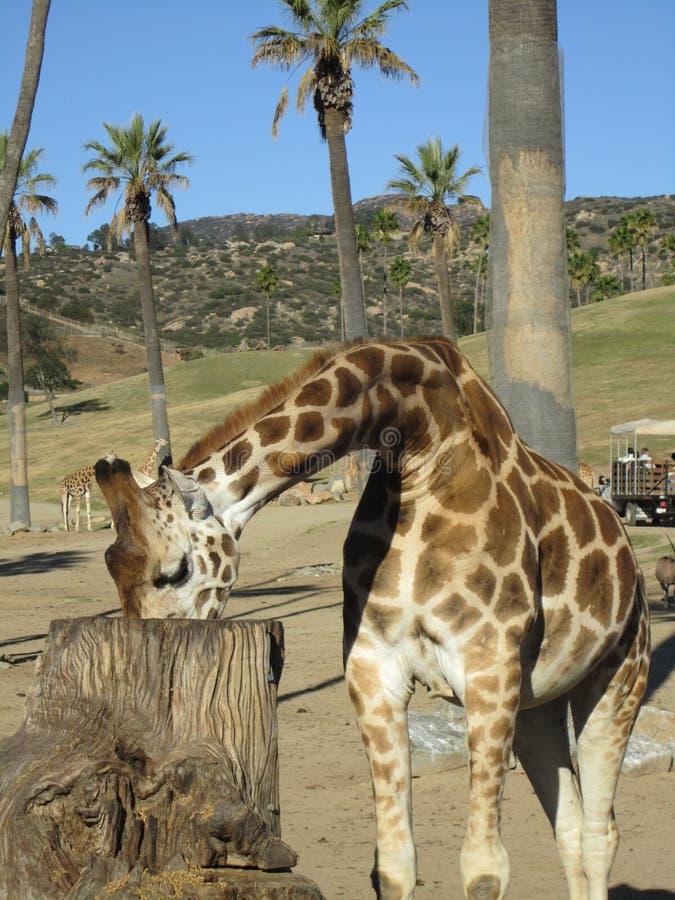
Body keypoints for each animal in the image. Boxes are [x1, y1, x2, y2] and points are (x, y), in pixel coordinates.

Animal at [95, 339, 650, 900]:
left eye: (175, 570)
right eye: (110, 569)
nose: (146, 657)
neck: (424, 448)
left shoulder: (487, 663)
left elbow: (484, 869)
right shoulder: (373, 666)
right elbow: (393, 864)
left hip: (621, 677)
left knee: (601, 831)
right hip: (538, 705)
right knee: (570, 824)